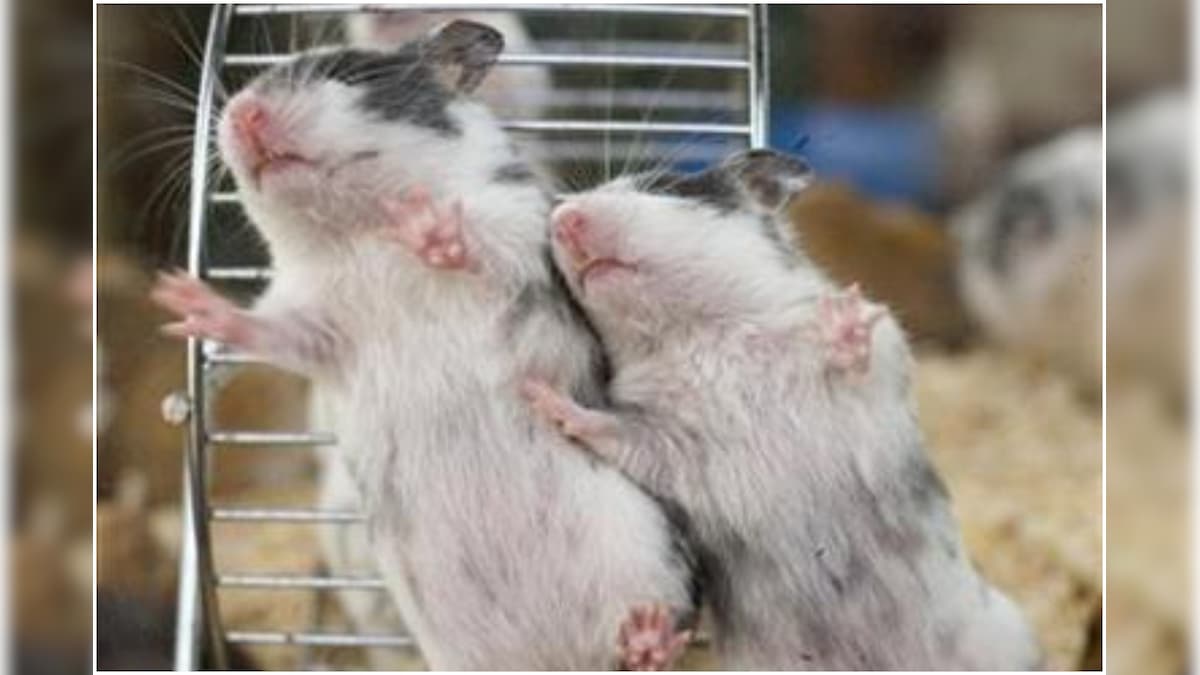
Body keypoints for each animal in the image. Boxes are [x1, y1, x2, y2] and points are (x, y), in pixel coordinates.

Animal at [152, 21, 695, 669]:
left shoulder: (522, 247)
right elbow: (263, 329)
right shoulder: (313, 323)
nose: (241, 113)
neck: (355, 235)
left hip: (644, 549)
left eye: (350, 73)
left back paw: (647, 640)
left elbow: (478, 249)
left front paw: (427, 227)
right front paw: (181, 300)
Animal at [521, 149, 1041, 670]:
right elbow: (611, 430)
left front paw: (843, 320)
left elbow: (858, 352)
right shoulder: (666, 441)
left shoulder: (882, 366)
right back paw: (645, 638)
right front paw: (540, 393)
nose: (563, 218)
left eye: (663, 187)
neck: (696, 334)